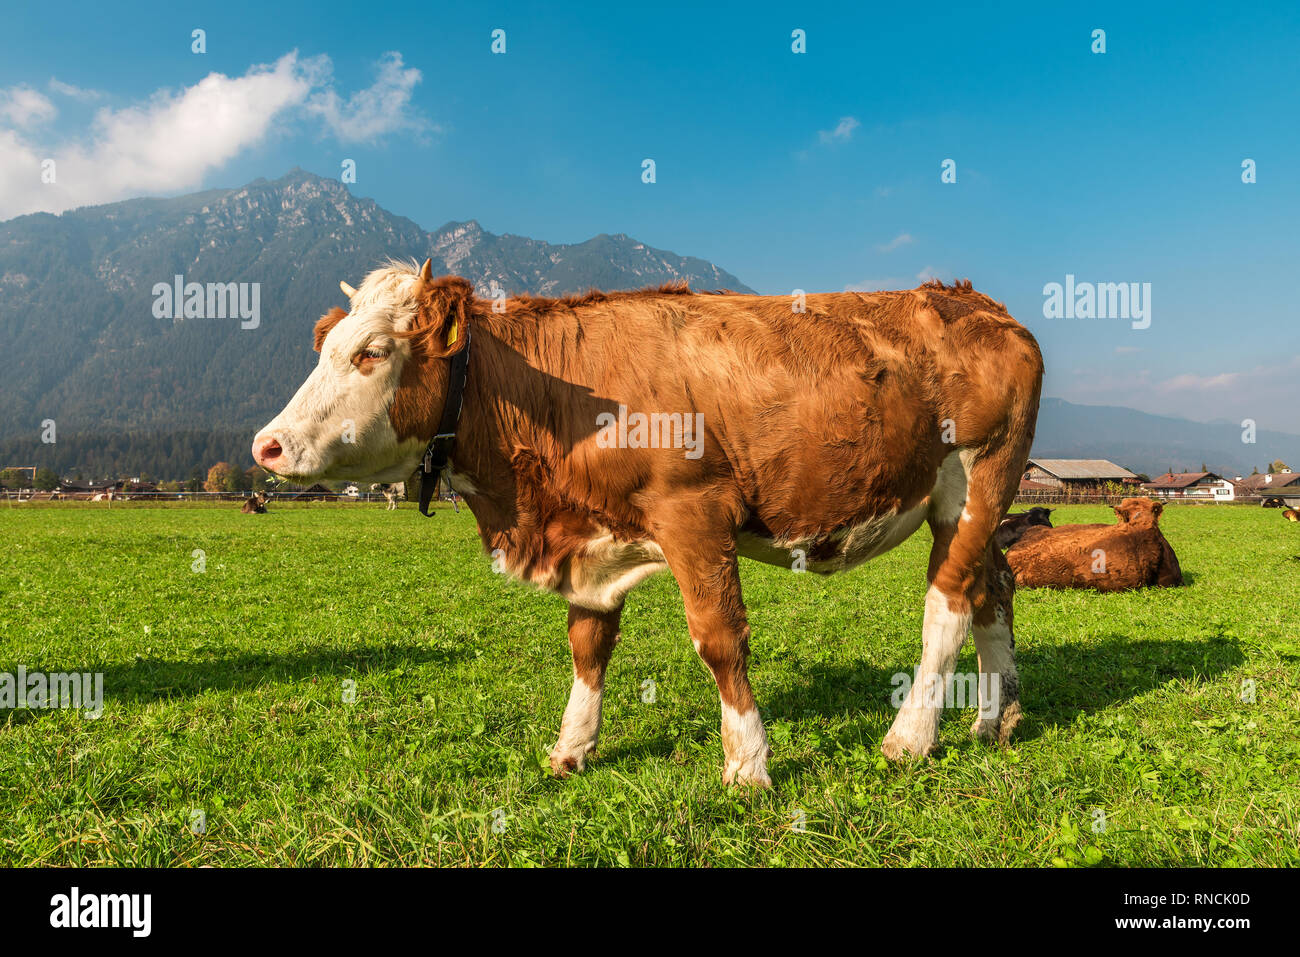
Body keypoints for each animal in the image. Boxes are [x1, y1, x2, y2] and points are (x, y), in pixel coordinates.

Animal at [252, 260, 1044, 786]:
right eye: (326, 348)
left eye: (371, 353)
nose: (267, 444)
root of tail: (977, 301)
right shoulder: (589, 543)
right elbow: (588, 645)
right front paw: (572, 746)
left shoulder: (695, 513)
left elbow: (720, 641)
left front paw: (748, 763)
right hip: (971, 503)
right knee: (994, 589)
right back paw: (994, 718)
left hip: (978, 479)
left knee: (946, 607)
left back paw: (911, 736)